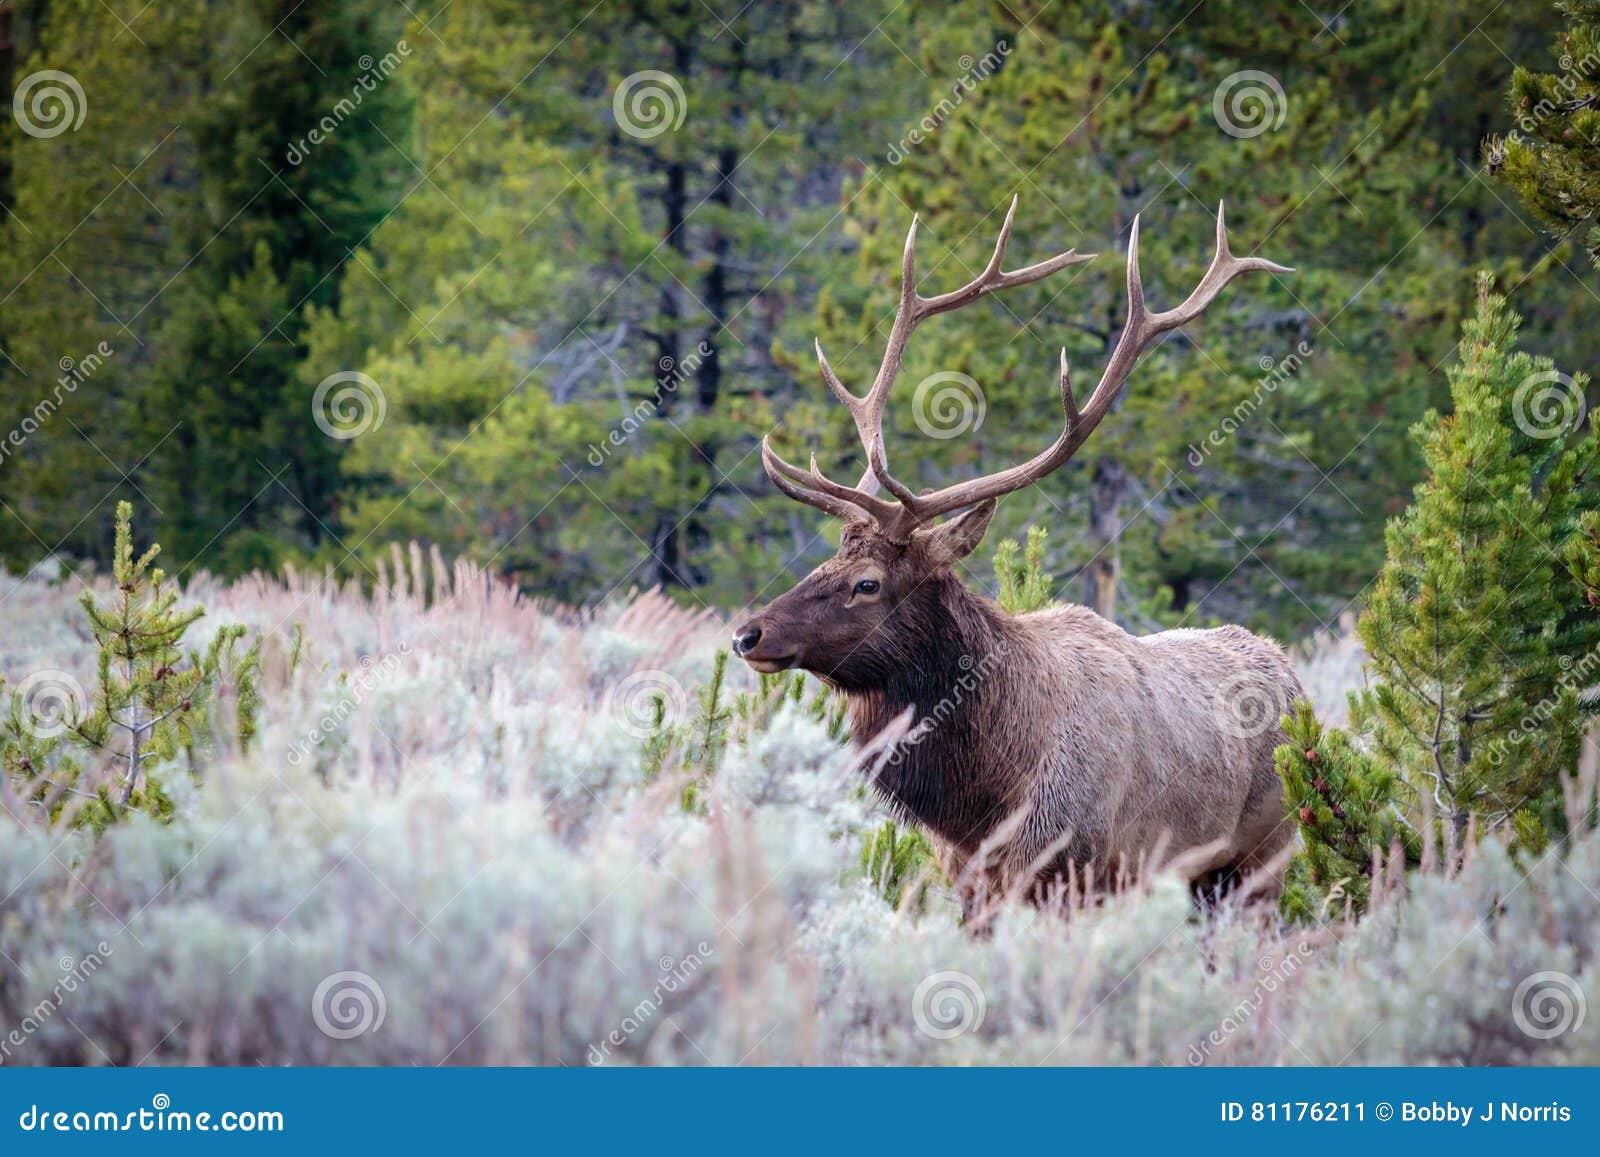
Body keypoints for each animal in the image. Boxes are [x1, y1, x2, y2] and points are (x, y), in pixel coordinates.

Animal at [731, 197, 1303, 919]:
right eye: (821, 565)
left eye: (867, 583)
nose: (747, 633)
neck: (984, 801)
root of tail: (1295, 678)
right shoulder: (967, 879)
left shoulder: (1080, 869)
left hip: (1265, 855)